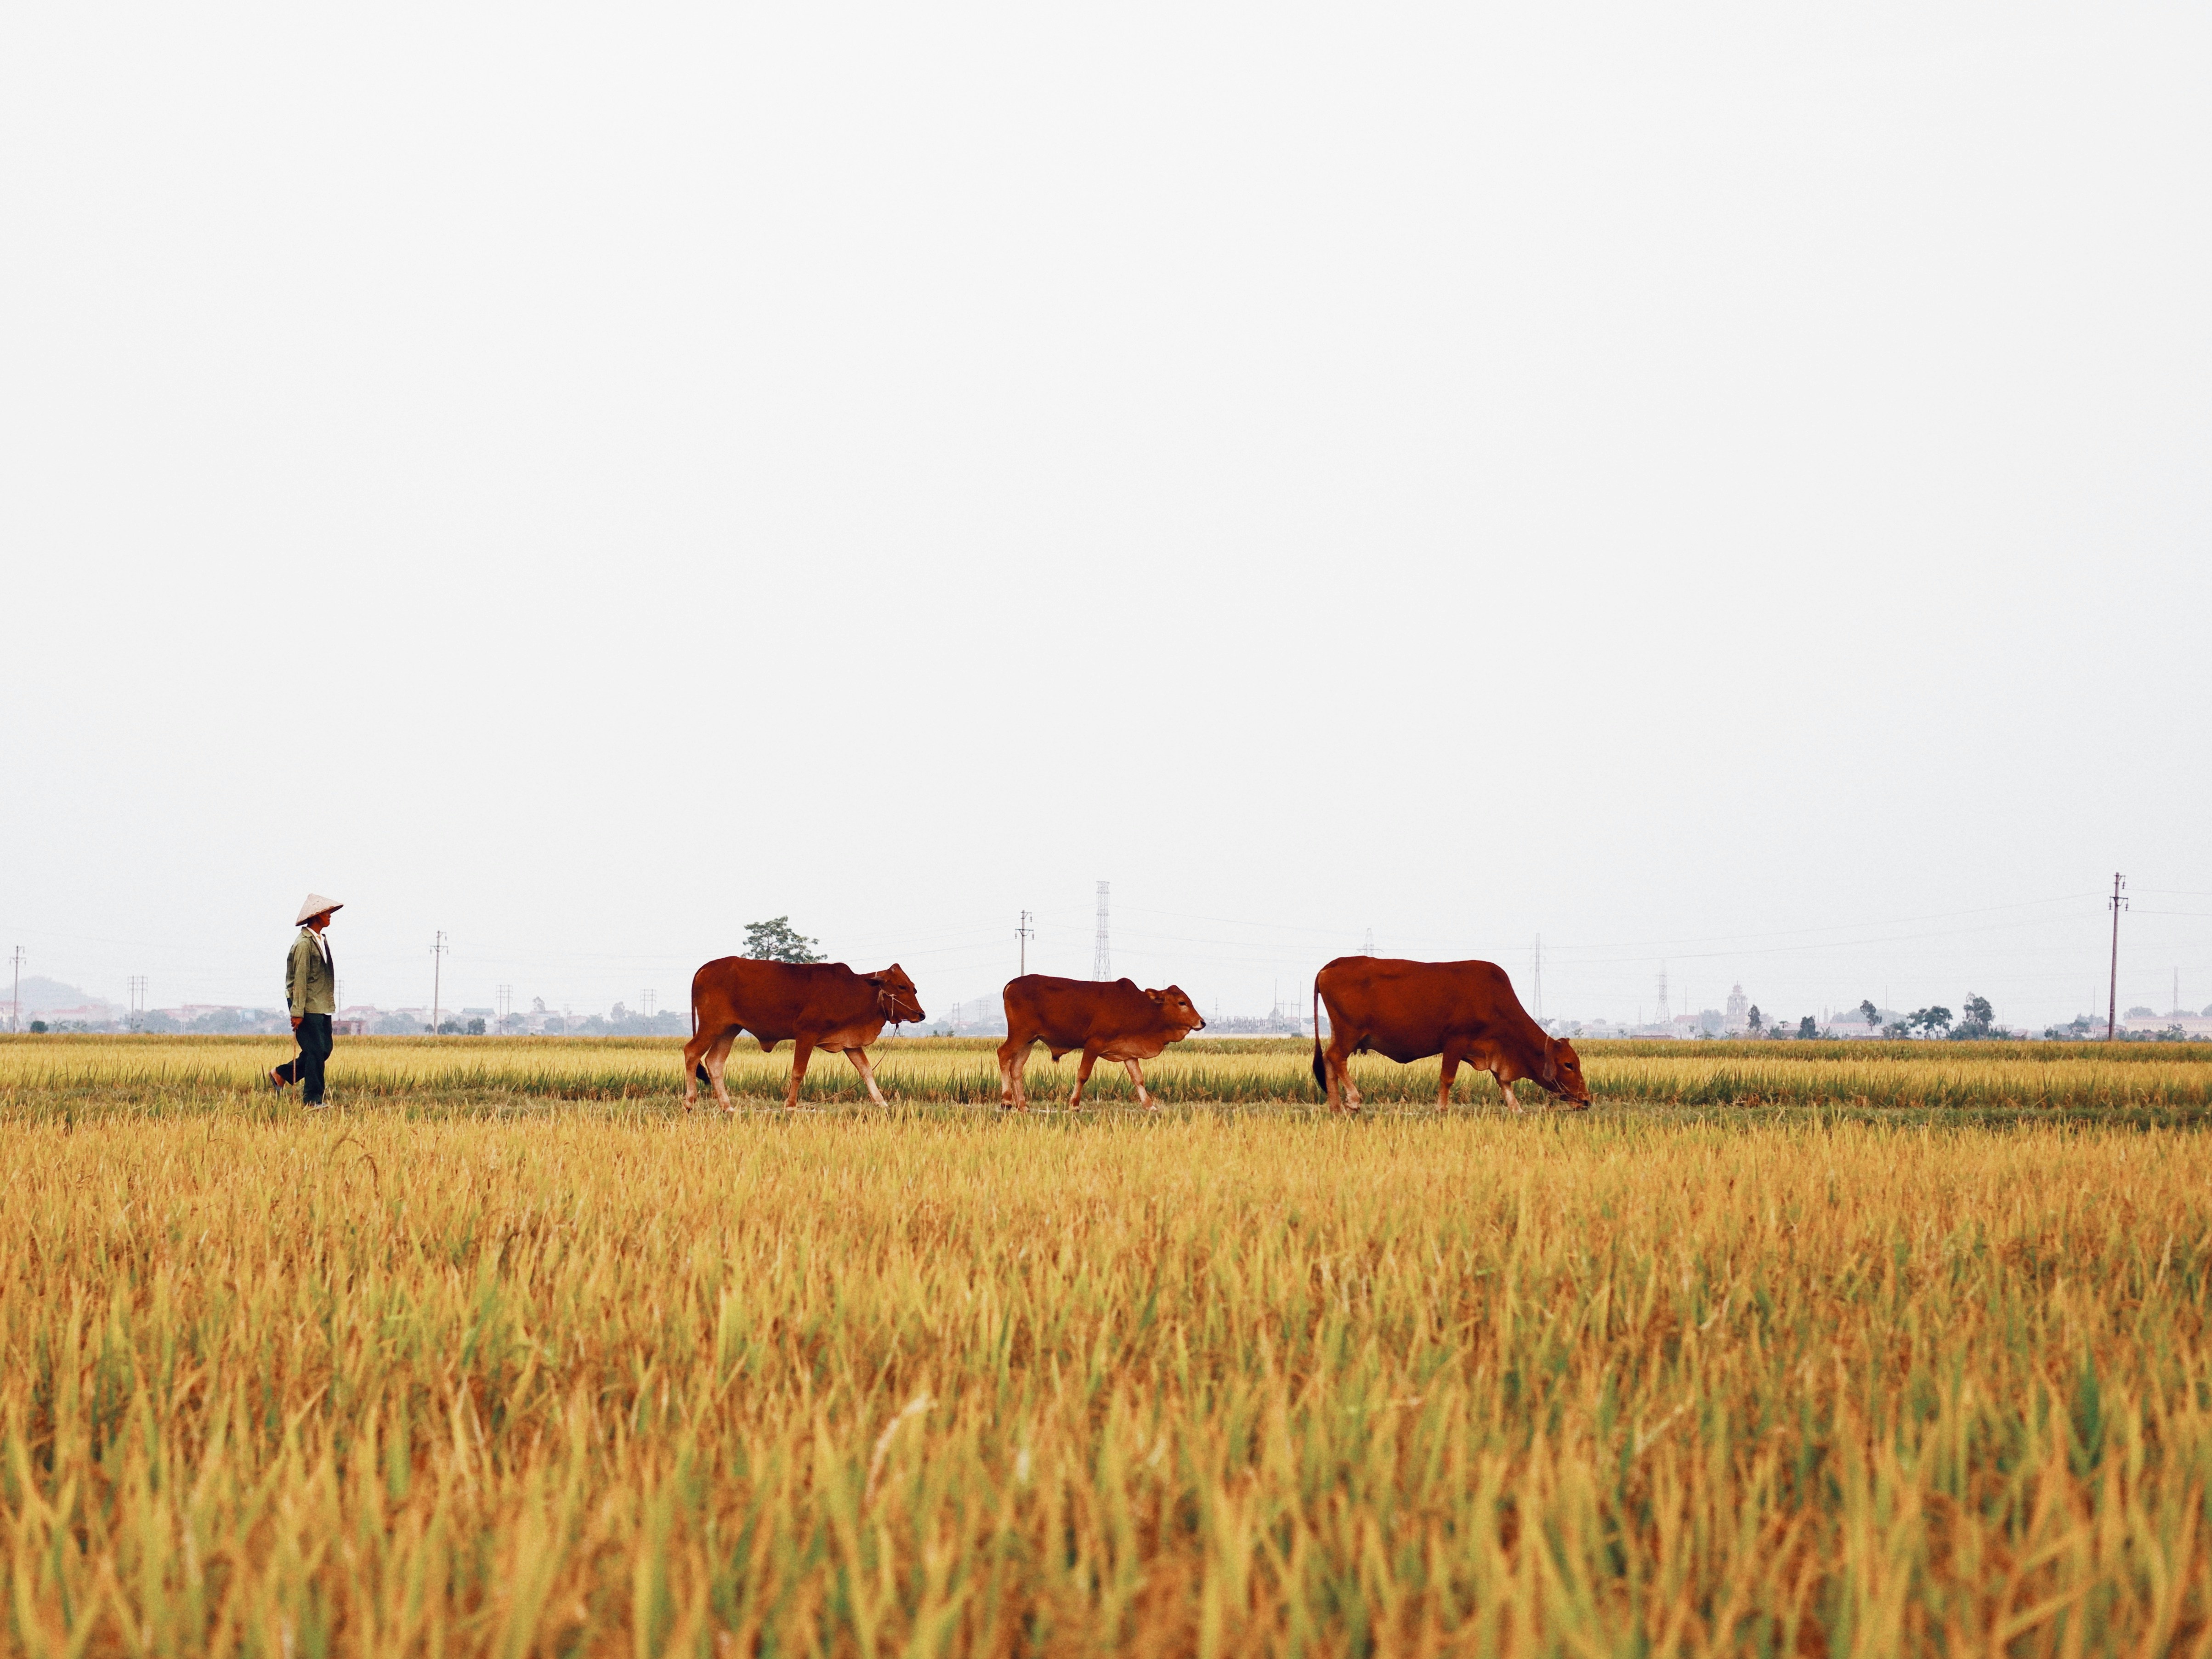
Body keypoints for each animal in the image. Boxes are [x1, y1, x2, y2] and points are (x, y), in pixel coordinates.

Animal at [682, 958, 925, 1111]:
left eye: (914, 987)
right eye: (902, 987)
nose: (921, 1015)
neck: (854, 990)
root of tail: (706, 968)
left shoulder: (850, 1042)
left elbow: (866, 1071)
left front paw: (882, 1102)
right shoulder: (806, 1034)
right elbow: (798, 1072)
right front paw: (790, 1106)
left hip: (729, 1030)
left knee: (714, 1063)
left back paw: (728, 1107)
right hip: (712, 1025)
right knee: (691, 1052)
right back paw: (690, 1101)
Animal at [997, 974, 1206, 1110]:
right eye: (1182, 1003)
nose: (1202, 1022)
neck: (1139, 1007)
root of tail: (1012, 984)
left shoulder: (1129, 1052)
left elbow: (1138, 1078)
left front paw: (1150, 1106)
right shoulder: (1093, 1045)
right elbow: (1083, 1075)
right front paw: (1074, 1105)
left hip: (1030, 1040)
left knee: (1017, 1068)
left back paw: (1022, 1105)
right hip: (1020, 1034)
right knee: (1003, 1054)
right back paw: (1007, 1101)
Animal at [1310, 956, 1590, 1114]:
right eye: (1569, 1065)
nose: (1586, 1100)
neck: (1494, 1000)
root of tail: (1334, 963)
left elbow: (1503, 1082)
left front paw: (1516, 1108)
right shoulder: (1455, 1042)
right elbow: (1447, 1079)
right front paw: (1442, 1108)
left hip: (1340, 1032)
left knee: (1329, 1061)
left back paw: (1336, 1106)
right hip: (1349, 1032)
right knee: (1336, 1058)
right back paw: (1353, 1101)